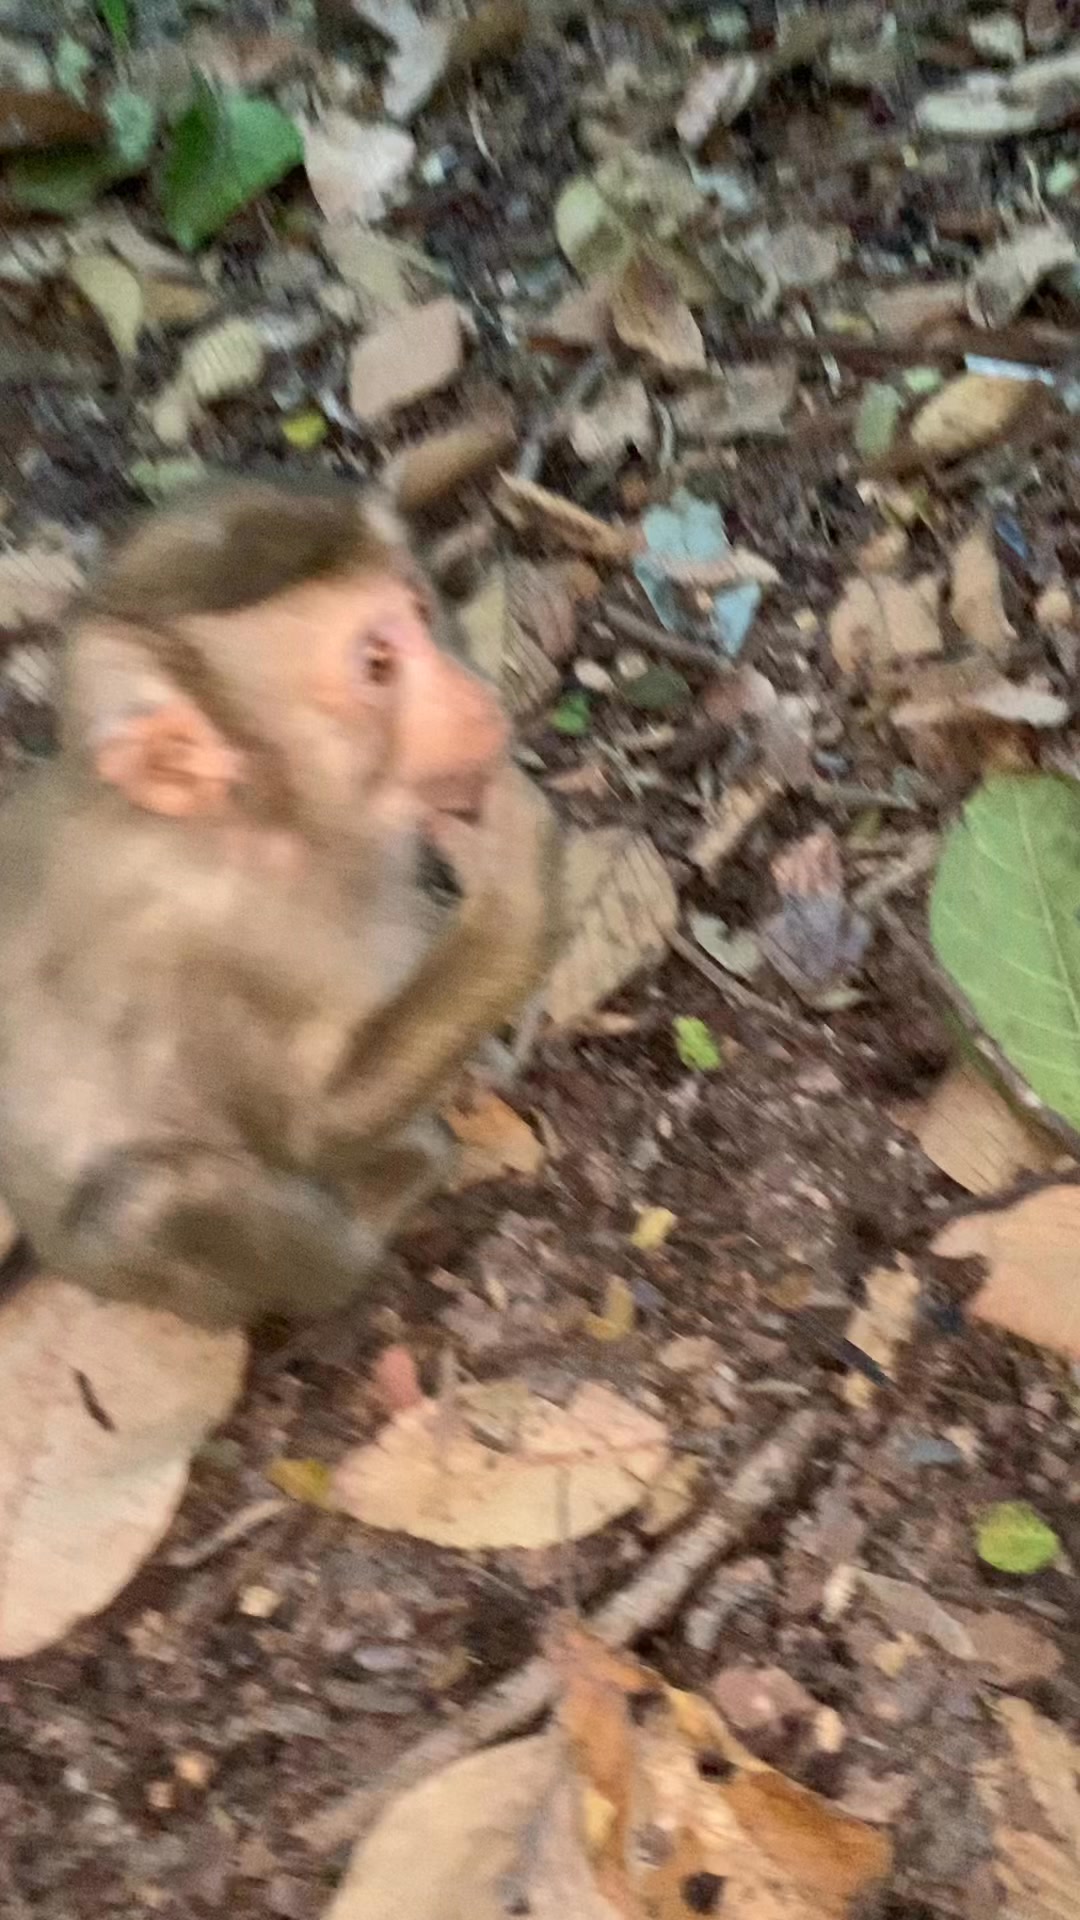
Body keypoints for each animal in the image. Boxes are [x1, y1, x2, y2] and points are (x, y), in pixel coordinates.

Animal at [0, 477, 561, 1328]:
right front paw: (519, 874)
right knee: (153, 1200)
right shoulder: (220, 942)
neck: (256, 821)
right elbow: (307, 1136)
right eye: (376, 663)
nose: (475, 697)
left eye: (419, 610)